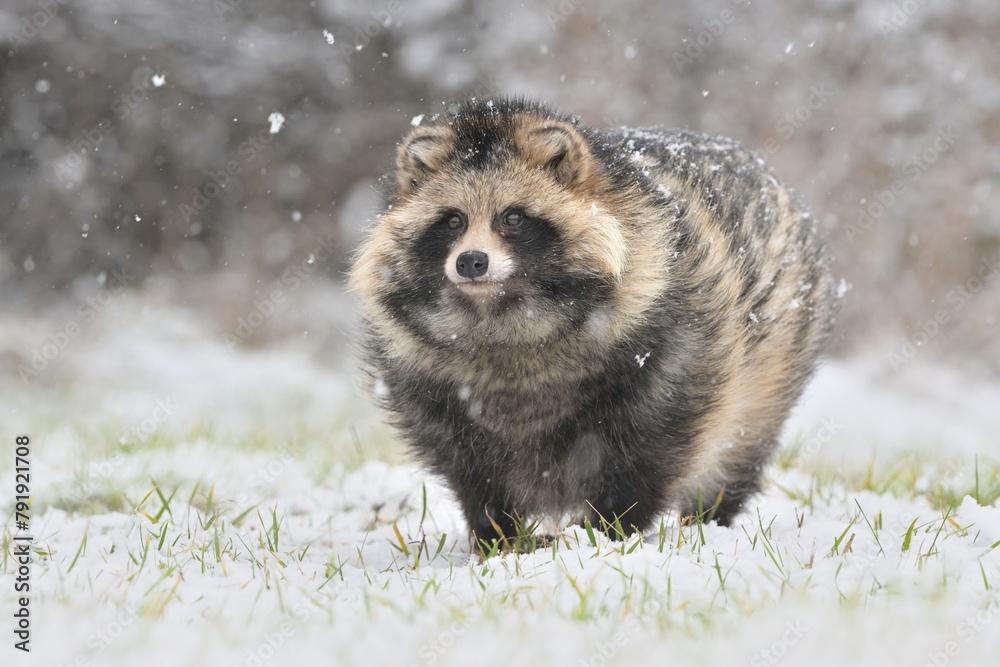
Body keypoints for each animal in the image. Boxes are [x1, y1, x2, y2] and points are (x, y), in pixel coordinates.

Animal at [350, 98, 835, 544]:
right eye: (453, 220)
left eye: (512, 217)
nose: (471, 261)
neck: (503, 318)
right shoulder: (426, 377)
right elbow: (468, 464)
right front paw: (495, 535)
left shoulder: (674, 335)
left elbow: (649, 448)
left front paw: (611, 529)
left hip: (772, 368)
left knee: (736, 448)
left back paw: (708, 518)